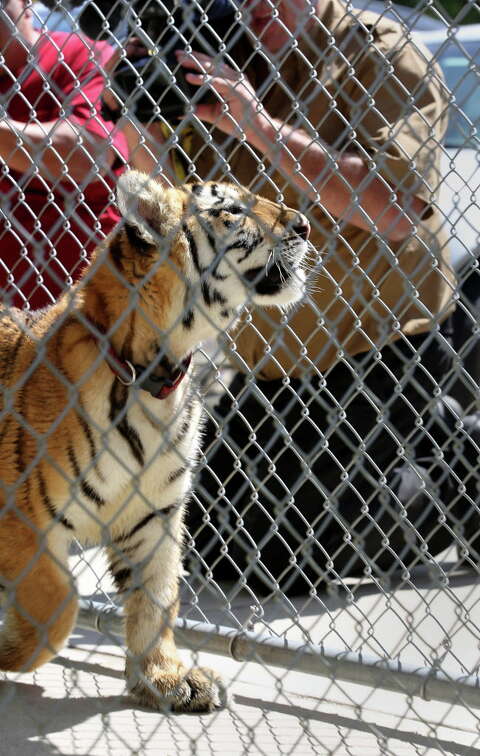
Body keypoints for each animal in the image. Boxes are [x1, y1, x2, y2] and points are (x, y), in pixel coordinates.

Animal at [0, 170, 310, 712]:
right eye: (232, 209)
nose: (306, 225)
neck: (157, 371)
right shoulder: (21, 519)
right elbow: (59, 603)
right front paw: (10, 652)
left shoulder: (152, 513)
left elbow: (157, 600)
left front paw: (165, 679)